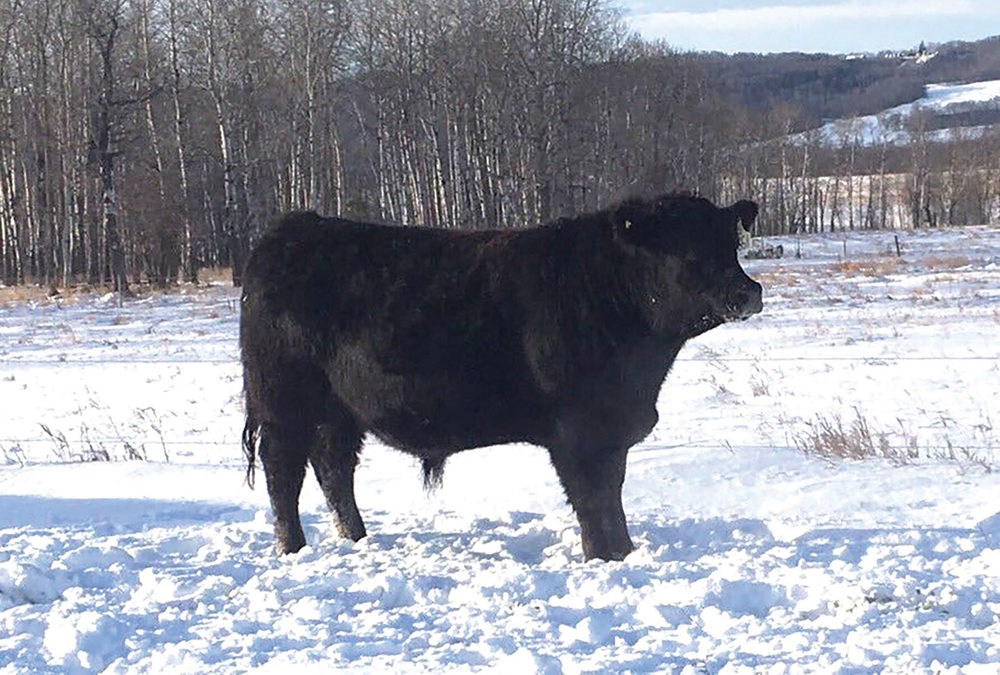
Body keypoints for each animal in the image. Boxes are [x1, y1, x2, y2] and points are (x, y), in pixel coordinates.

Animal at [240, 194, 763, 561]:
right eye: (686, 251)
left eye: (730, 245)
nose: (748, 292)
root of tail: (293, 229)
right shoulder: (578, 432)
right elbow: (593, 499)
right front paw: (604, 558)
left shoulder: (611, 431)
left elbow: (611, 494)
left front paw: (625, 552)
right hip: (283, 402)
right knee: (283, 472)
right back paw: (293, 549)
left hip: (338, 411)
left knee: (334, 469)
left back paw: (357, 541)